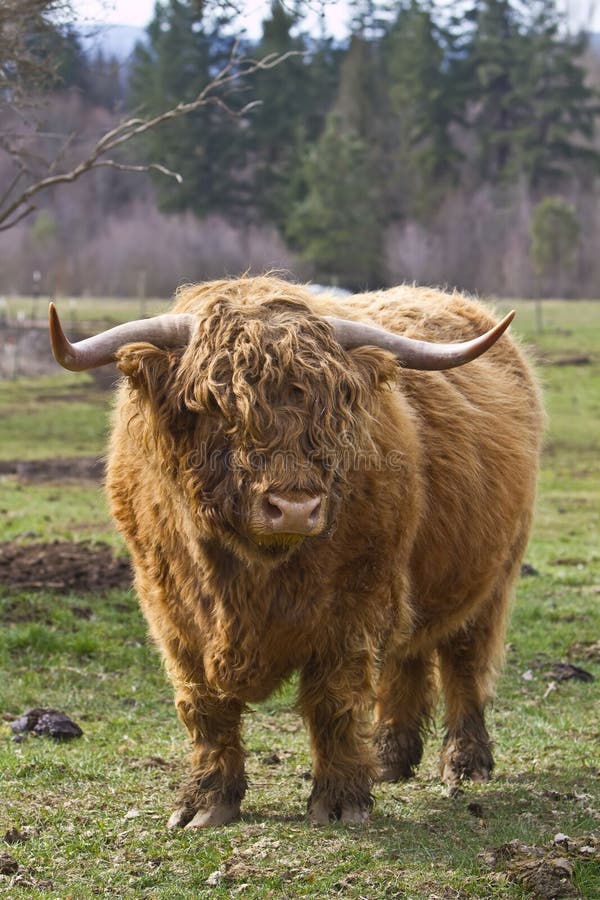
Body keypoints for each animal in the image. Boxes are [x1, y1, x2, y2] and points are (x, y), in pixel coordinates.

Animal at [49, 275, 544, 828]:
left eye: (332, 409)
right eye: (214, 406)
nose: (293, 508)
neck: (247, 575)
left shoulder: (356, 601)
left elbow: (334, 700)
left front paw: (340, 801)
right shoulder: (170, 607)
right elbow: (203, 704)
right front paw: (206, 802)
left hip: (489, 577)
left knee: (464, 662)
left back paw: (464, 763)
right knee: (408, 657)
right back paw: (390, 759)